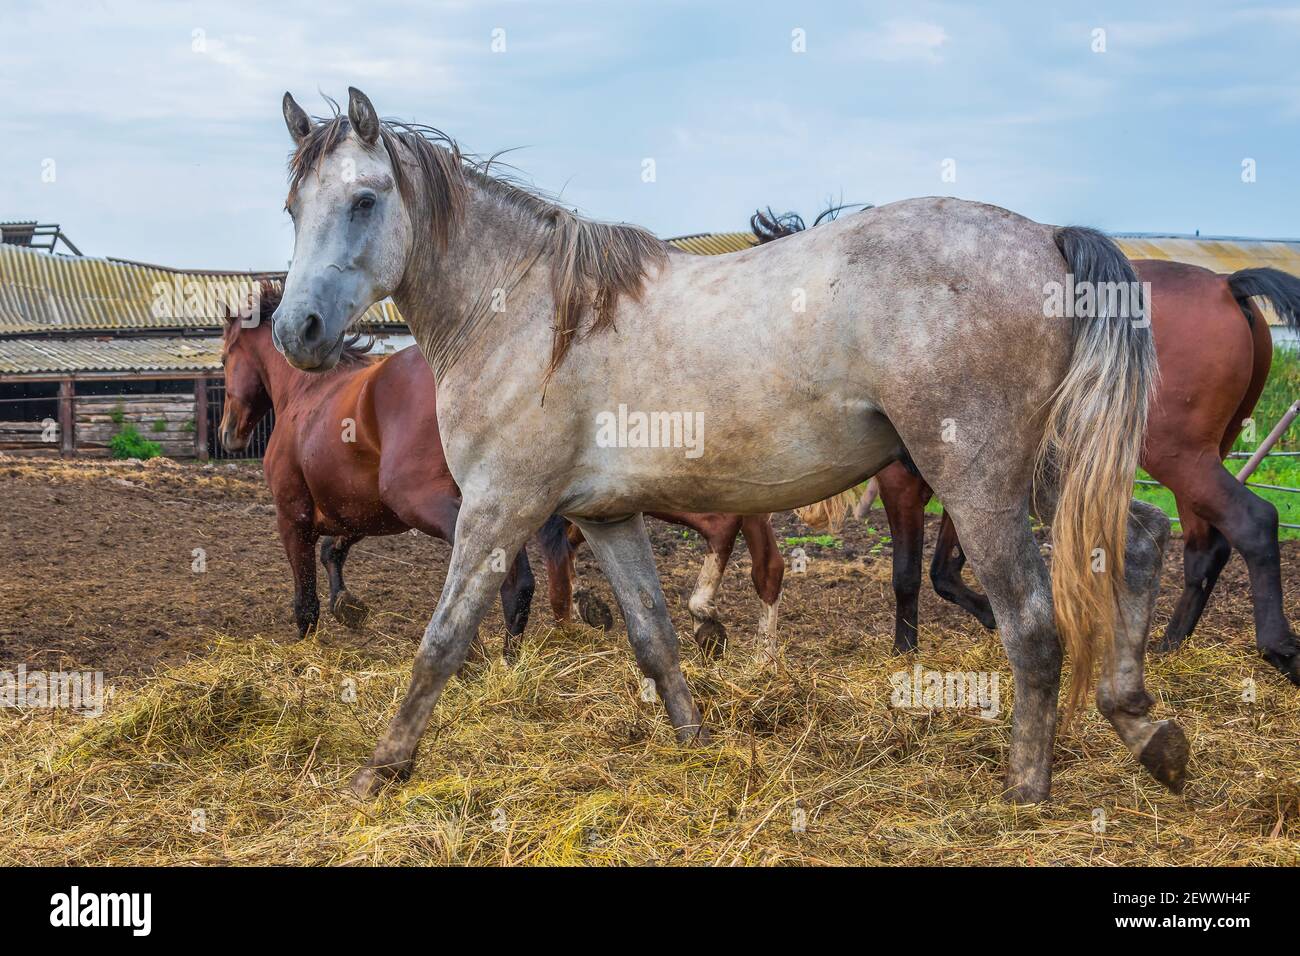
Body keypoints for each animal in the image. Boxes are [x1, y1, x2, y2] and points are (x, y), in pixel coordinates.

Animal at [272, 88, 1172, 805]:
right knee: (1138, 541)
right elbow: (654, 638)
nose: (296, 331)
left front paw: (379, 771)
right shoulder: (606, 518)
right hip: (1045, 468)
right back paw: (1146, 729)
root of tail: (1048, 237)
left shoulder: (498, 511)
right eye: (293, 209)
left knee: (1032, 625)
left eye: (364, 200)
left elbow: (441, 643)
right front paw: (697, 743)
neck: (527, 314)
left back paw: (1029, 788)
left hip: (979, 481)